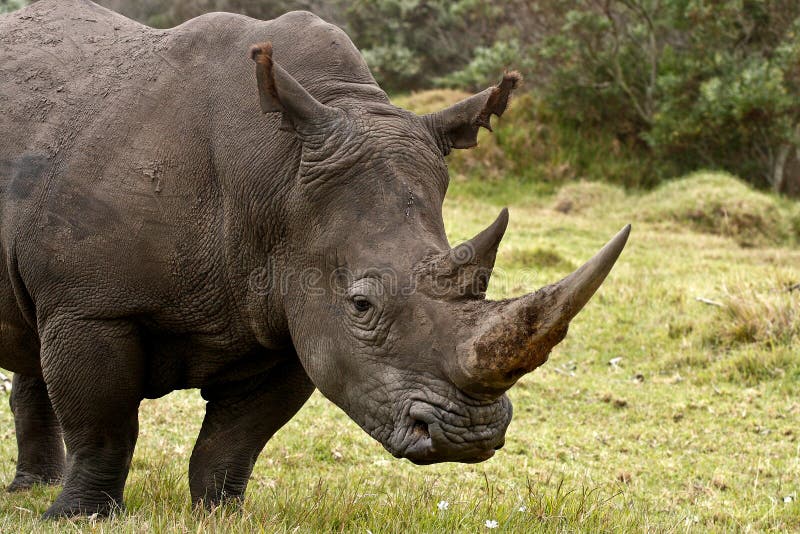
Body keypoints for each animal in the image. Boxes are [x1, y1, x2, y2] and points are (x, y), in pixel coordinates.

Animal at [0, 0, 630, 518]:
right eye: (361, 304)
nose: (467, 436)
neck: (277, 176)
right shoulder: (90, 305)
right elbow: (104, 426)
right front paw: (77, 519)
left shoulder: (288, 315)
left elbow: (234, 441)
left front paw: (221, 515)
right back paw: (37, 496)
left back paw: (31, 489)